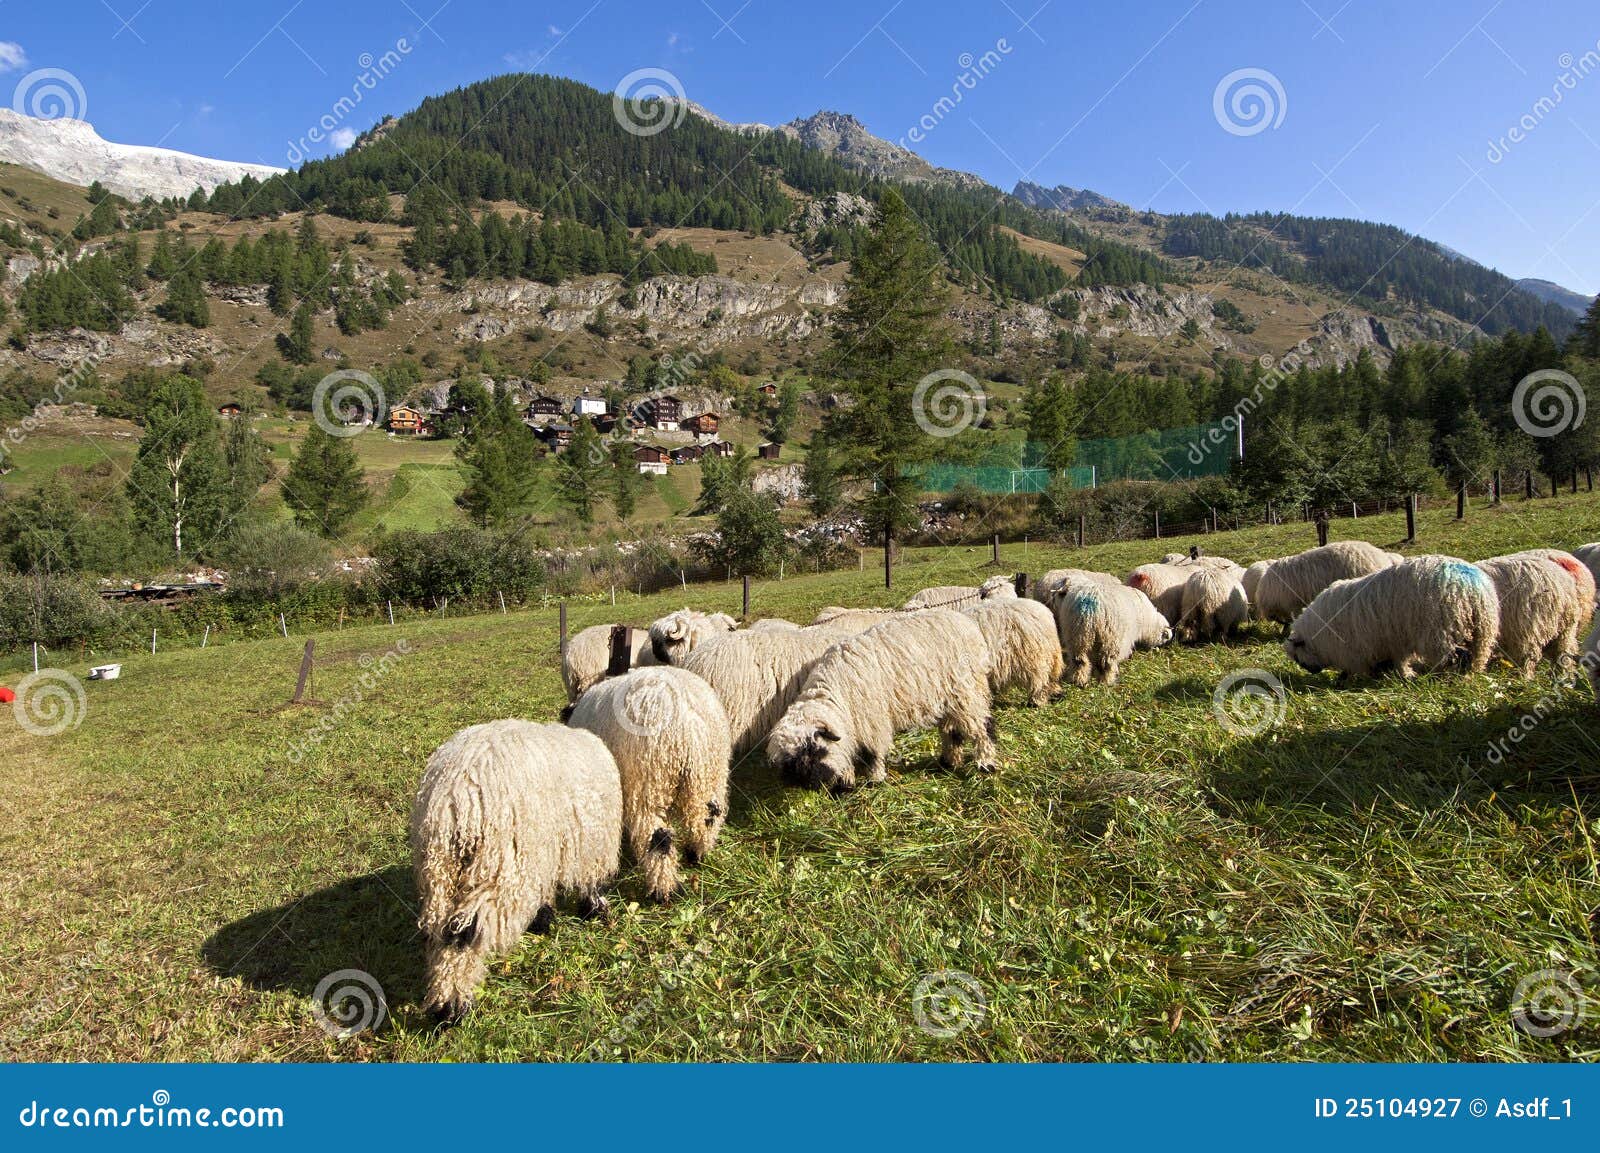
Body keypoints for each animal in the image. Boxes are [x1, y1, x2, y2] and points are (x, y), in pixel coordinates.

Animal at [411, 720, 622, 1021]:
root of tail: (457, 799)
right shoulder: (592, 842)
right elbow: (591, 882)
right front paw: (596, 909)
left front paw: (543, 918)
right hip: (498, 868)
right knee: (464, 934)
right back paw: (453, 1007)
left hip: (439, 874)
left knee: (442, 933)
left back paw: (442, 1004)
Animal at [566, 667, 732, 903]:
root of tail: (689, 722)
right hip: (712, 774)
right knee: (710, 815)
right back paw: (697, 853)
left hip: (649, 784)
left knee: (659, 839)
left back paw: (662, 891)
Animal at [767, 609, 997, 791]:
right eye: (791, 762)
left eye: (815, 750)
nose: (812, 785)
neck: (837, 692)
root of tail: (965, 622)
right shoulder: (852, 723)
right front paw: (845, 785)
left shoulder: (872, 721)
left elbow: (872, 752)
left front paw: (875, 779)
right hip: (947, 697)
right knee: (952, 730)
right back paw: (949, 762)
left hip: (967, 691)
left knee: (981, 726)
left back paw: (986, 764)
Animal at [1284, 555, 1500, 679]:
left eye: (1297, 657)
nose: (1311, 671)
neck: (1318, 636)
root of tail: (1470, 585)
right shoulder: (1393, 642)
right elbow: (1398, 660)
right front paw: (1402, 674)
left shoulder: (1355, 649)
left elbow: (1359, 668)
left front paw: (1349, 680)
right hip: (1482, 630)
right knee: (1476, 654)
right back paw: (1470, 673)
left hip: (1440, 631)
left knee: (1451, 656)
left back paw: (1439, 676)